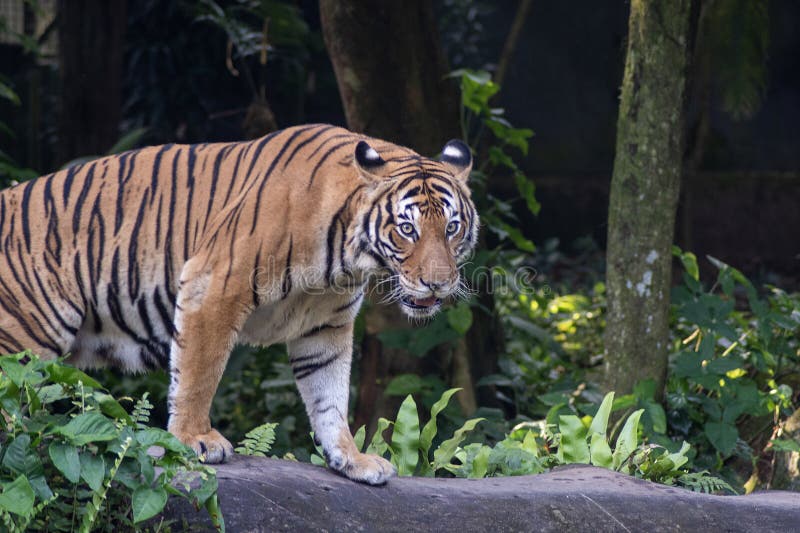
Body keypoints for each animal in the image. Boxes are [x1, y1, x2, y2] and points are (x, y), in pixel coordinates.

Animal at [0, 123, 477, 485]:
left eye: (451, 228)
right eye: (407, 229)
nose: (438, 284)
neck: (345, 257)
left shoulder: (326, 327)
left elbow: (329, 396)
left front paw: (351, 459)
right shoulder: (212, 286)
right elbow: (199, 373)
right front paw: (194, 439)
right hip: (25, 338)